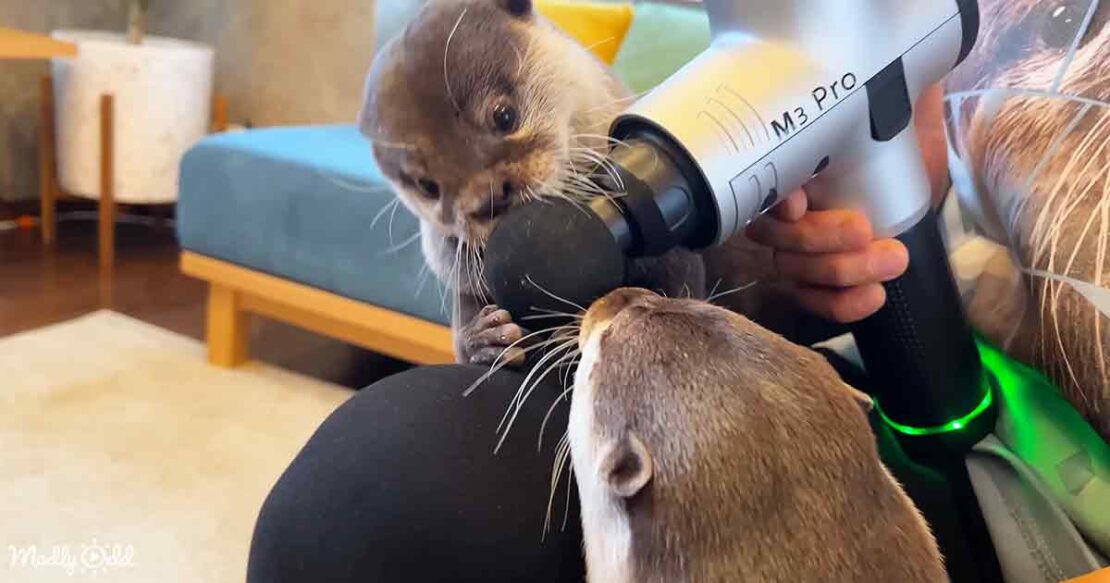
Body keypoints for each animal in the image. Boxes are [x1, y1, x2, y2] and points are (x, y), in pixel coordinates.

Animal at [359, 0, 706, 366]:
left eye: (503, 115)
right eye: (427, 185)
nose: (488, 197)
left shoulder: (677, 256)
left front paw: (574, 336)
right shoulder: (460, 280)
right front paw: (485, 338)